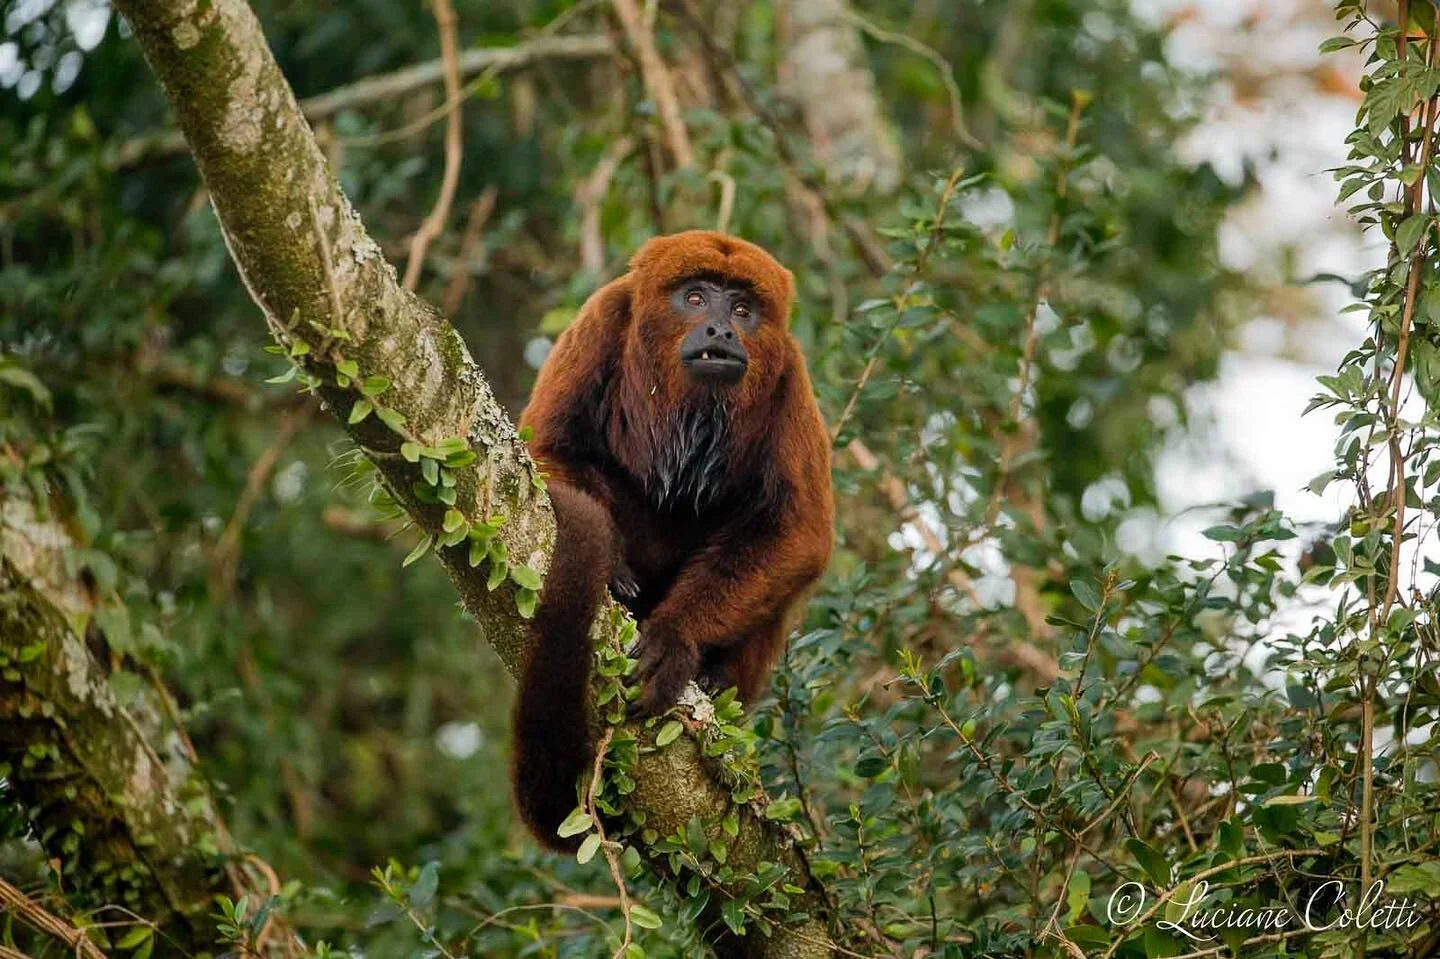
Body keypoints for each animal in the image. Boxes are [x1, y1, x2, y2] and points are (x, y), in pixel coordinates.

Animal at [510, 231, 834, 850]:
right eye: (695, 298)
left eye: (742, 310)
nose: (722, 331)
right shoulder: (603, 317)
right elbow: (548, 447)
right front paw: (613, 563)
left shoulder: (791, 377)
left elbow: (798, 529)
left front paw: (675, 640)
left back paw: (712, 676)